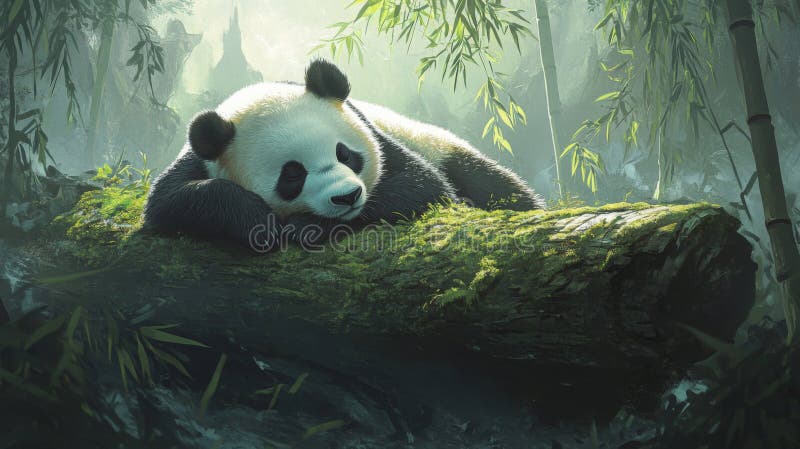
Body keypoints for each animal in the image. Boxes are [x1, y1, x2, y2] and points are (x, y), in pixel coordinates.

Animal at [144, 59, 544, 251]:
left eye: (346, 154)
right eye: (292, 174)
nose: (348, 197)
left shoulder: (372, 130)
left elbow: (421, 188)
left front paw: (304, 227)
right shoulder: (199, 158)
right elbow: (169, 201)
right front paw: (258, 221)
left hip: (440, 146)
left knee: (495, 185)